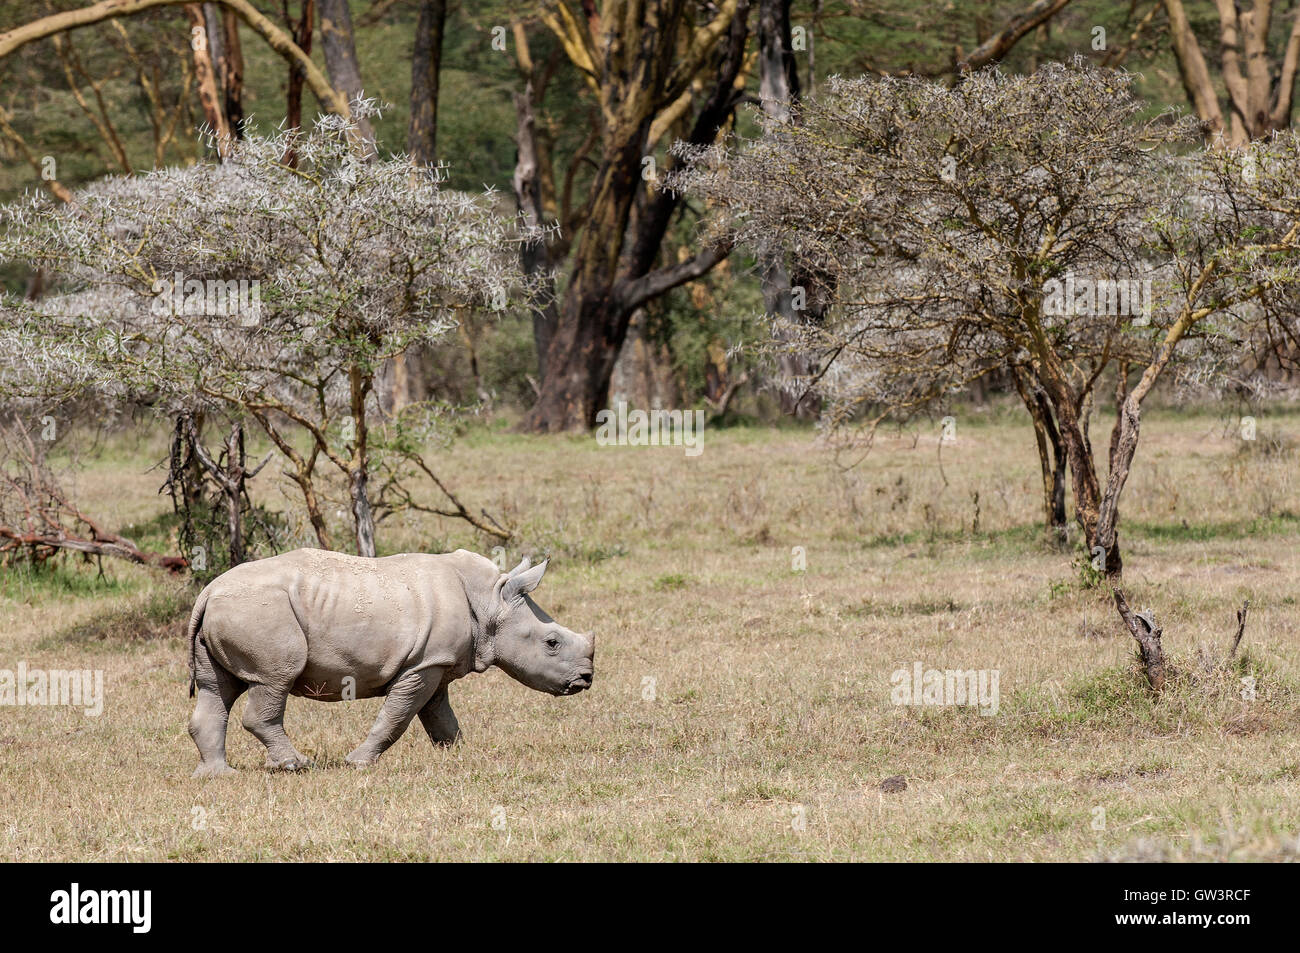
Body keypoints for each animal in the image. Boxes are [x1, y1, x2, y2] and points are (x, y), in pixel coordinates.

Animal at [185, 548, 594, 777]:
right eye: (552, 643)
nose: (586, 680)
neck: (491, 600)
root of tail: (207, 592)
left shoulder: (436, 662)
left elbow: (441, 719)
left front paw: (460, 759)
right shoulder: (423, 664)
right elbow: (397, 717)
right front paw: (357, 764)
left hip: (232, 610)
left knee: (216, 687)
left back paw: (218, 776)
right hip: (259, 611)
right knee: (272, 681)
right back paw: (297, 767)